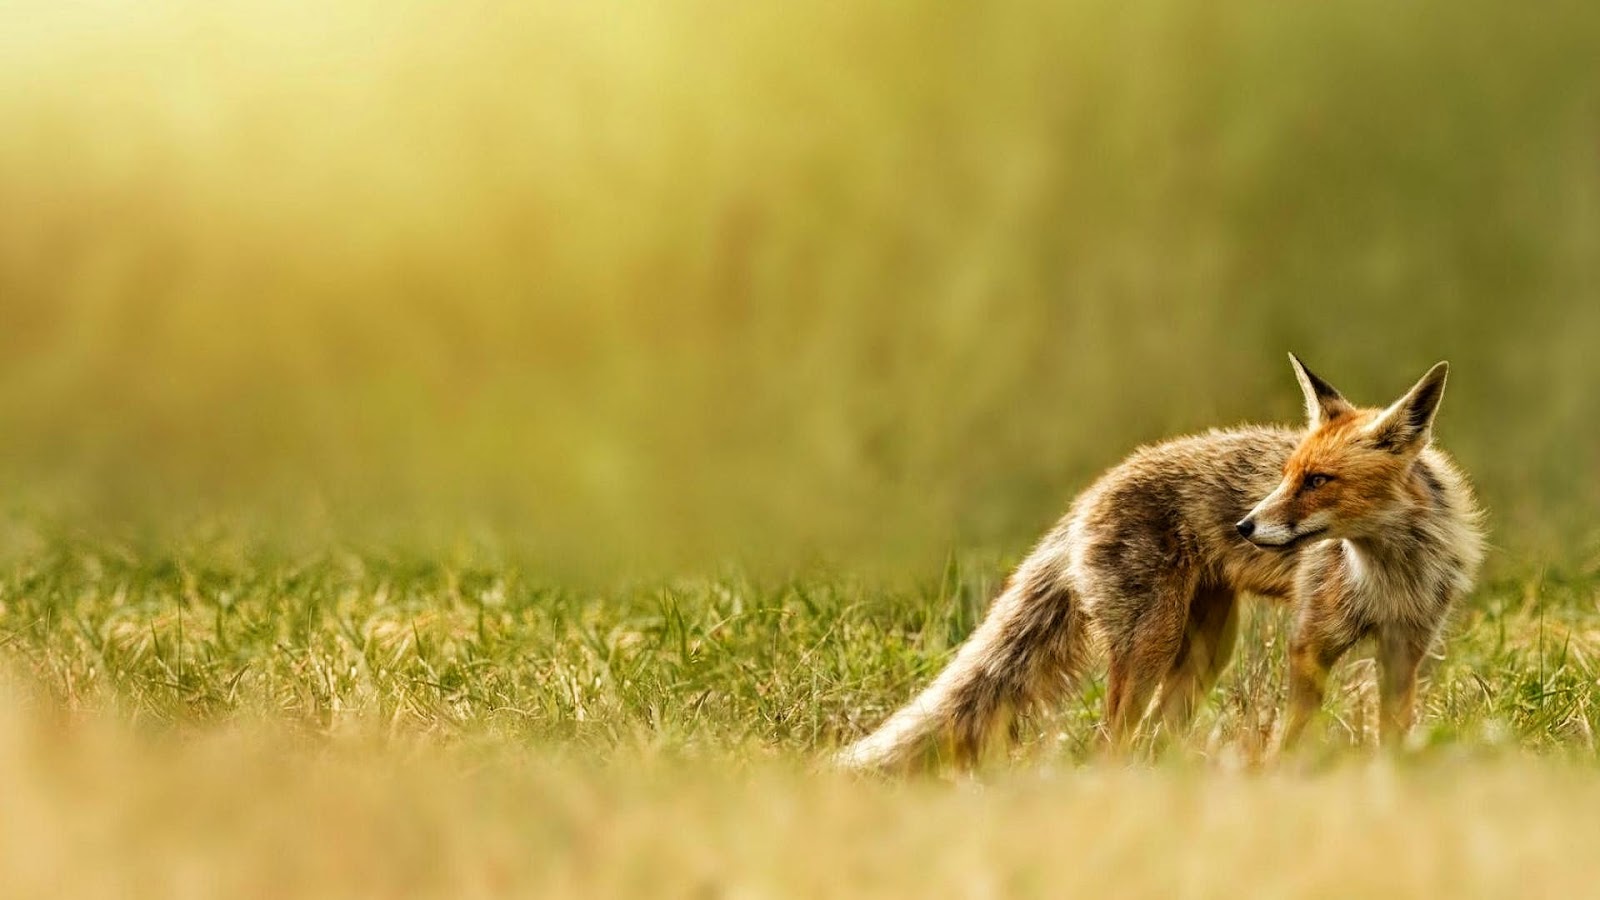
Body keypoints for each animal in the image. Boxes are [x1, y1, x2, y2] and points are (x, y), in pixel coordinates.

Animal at [839, 355, 1484, 770]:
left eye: (1318, 481)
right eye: (1286, 476)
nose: (1245, 526)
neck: (1389, 575)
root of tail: (1089, 494)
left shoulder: (1405, 649)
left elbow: (1393, 737)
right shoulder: (1310, 644)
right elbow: (1293, 739)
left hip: (1203, 653)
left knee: (1156, 736)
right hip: (1151, 643)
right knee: (1112, 743)